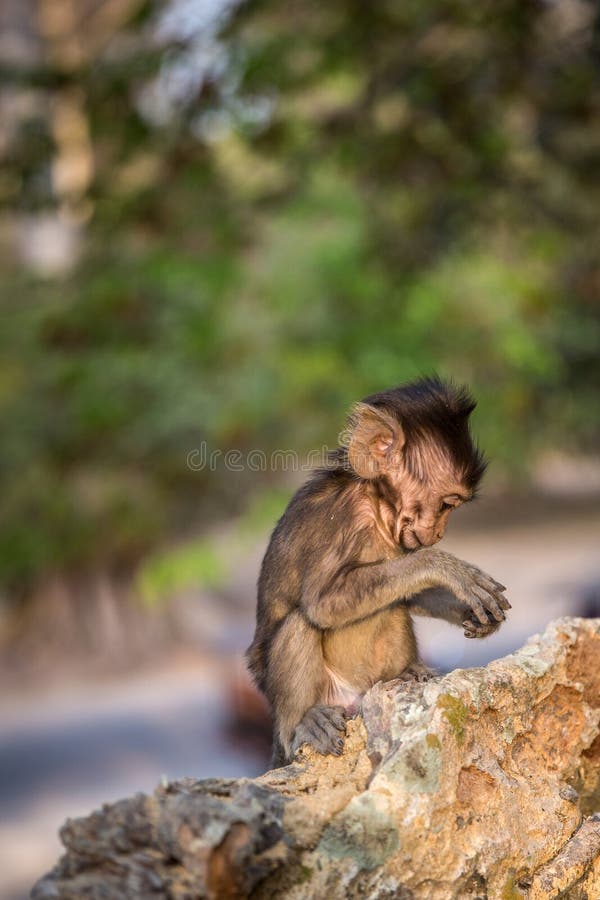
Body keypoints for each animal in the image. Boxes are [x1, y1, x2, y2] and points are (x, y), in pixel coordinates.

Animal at [246, 377, 510, 767]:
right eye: (446, 505)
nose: (440, 533)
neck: (376, 502)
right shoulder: (344, 518)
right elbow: (322, 602)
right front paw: (444, 566)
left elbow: (410, 590)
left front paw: (473, 612)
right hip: (318, 702)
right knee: (299, 622)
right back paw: (303, 723)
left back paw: (408, 674)